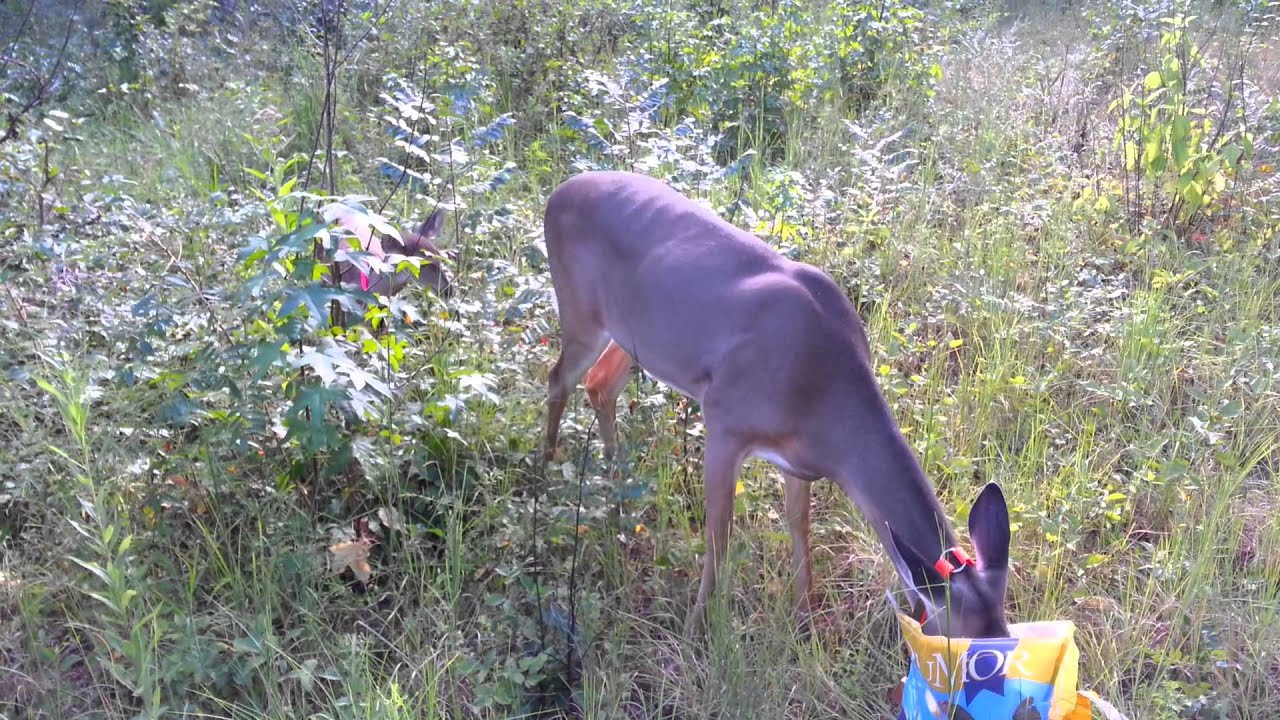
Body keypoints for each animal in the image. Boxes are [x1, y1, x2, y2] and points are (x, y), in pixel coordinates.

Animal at [541, 170, 1012, 638]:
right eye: (963, 643)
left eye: (1005, 628)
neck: (822, 388)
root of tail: (560, 190)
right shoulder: (724, 419)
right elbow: (719, 535)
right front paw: (696, 628)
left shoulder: (797, 459)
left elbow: (799, 524)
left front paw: (806, 618)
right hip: (580, 311)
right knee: (558, 378)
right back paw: (545, 474)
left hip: (633, 338)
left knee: (599, 383)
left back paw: (617, 493)